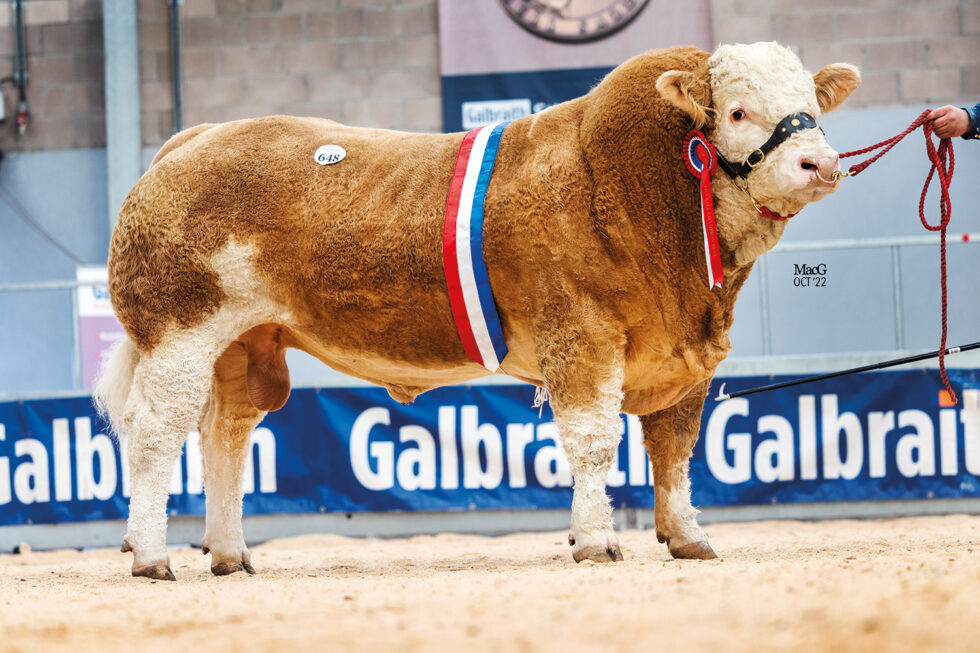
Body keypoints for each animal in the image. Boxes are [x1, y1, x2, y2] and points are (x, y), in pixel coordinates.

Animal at [95, 41, 859, 580]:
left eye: (812, 108)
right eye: (736, 112)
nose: (821, 164)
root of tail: (194, 138)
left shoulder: (685, 356)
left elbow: (673, 449)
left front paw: (689, 536)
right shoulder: (580, 337)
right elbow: (595, 440)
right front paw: (596, 540)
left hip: (246, 345)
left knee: (225, 433)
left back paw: (229, 553)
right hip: (180, 332)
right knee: (156, 431)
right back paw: (152, 556)